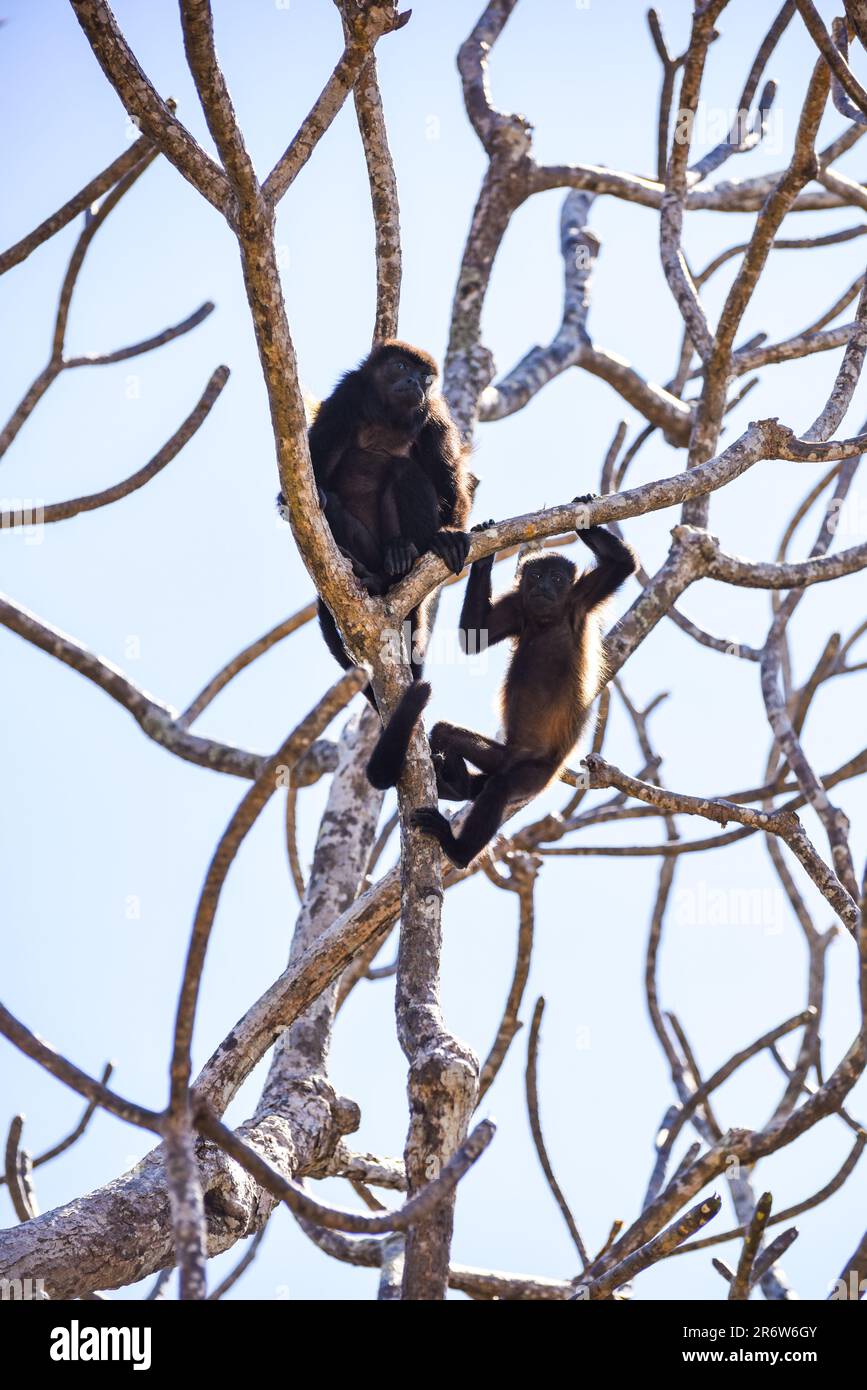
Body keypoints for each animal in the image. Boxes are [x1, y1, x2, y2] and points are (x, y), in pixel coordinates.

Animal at [278, 341, 472, 696]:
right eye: (400, 367)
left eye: (424, 377)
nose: (414, 382)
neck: (388, 420)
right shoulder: (346, 396)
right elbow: (311, 464)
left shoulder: (434, 419)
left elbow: (449, 485)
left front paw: (450, 534)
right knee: (335, 507)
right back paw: (368, 571)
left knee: (405, 471)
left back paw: (400, 558)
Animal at [365, 501, 638, 868]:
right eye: (536, 576)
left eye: (557, 578)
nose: (544, 586)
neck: (546, 618)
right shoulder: (518, 608)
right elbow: (473, 636)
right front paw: (483, 553)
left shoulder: (579, 600)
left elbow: (624, 564)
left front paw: (584, 509)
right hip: (499, 756)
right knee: (447, 736)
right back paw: (457, 785)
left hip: (533, 773)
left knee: (501, 788)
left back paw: (458, 850)